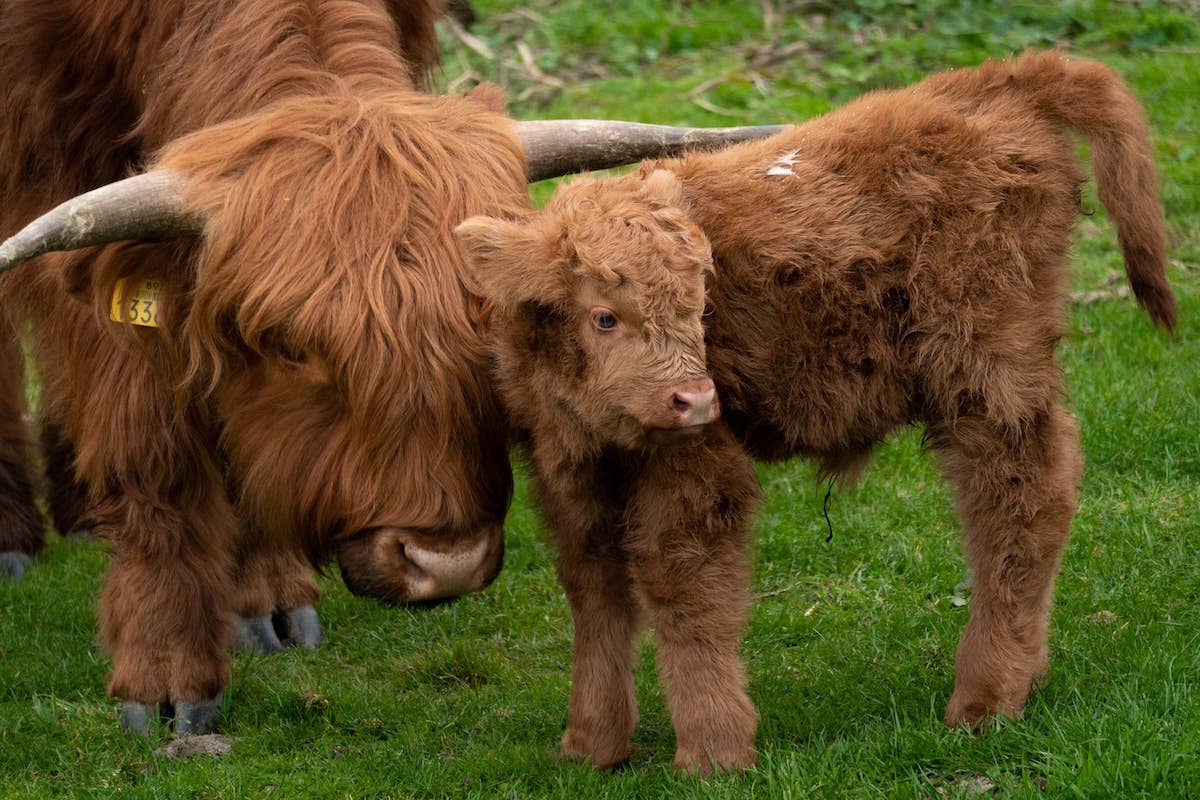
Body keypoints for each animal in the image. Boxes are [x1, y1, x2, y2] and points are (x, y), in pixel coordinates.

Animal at [0, 0, 779, 734]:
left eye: (496, 328)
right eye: (290, 348)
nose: (446, 566)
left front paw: (266, 594)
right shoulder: (62, 160)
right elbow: (148, 449)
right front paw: (165, 672)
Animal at [453, 50, 1175, 772]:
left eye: (700, 306)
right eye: (603, 316)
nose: (696, 398)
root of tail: (998, 79)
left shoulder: (696, 475)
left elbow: (684, 593)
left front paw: (713, 753)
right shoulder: (569, 479)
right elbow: (595, 590)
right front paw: (589, 744)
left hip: (984, 367)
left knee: (1020, 497)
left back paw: (985, 699)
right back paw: (1029, 672)